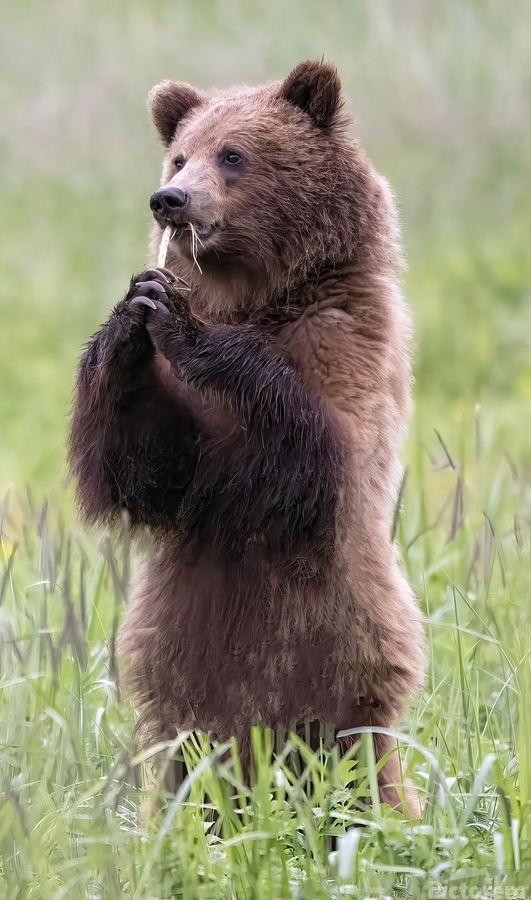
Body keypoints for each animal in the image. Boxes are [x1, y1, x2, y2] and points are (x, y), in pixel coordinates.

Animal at [68, 59, 425, 811]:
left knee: (359, 767)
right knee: (190, 767)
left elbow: (316, 457)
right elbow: (150, 466)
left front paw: (181, 321)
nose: (169, 200)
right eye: (180, 155)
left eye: (233, 155)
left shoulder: (348, 339)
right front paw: (130, 317)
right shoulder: (184, 426)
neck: (258, 299)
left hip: (347, 661)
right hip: (181, 680)